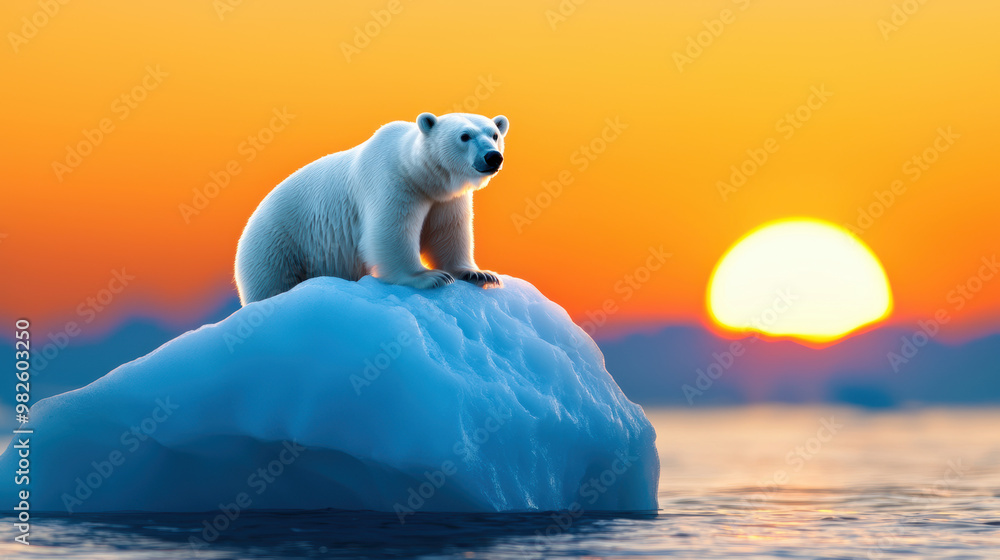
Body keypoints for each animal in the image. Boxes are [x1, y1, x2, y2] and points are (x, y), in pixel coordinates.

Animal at [234, 112, 509, 305]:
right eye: (465, 136)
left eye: (494, 134)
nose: (492, 157)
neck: (419, 174)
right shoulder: (392, 182)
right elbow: (389, 232)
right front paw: (430, 277)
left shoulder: (445, 200)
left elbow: (449, 233)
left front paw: (480, 274)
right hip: (277, 244)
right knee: (270, 281)